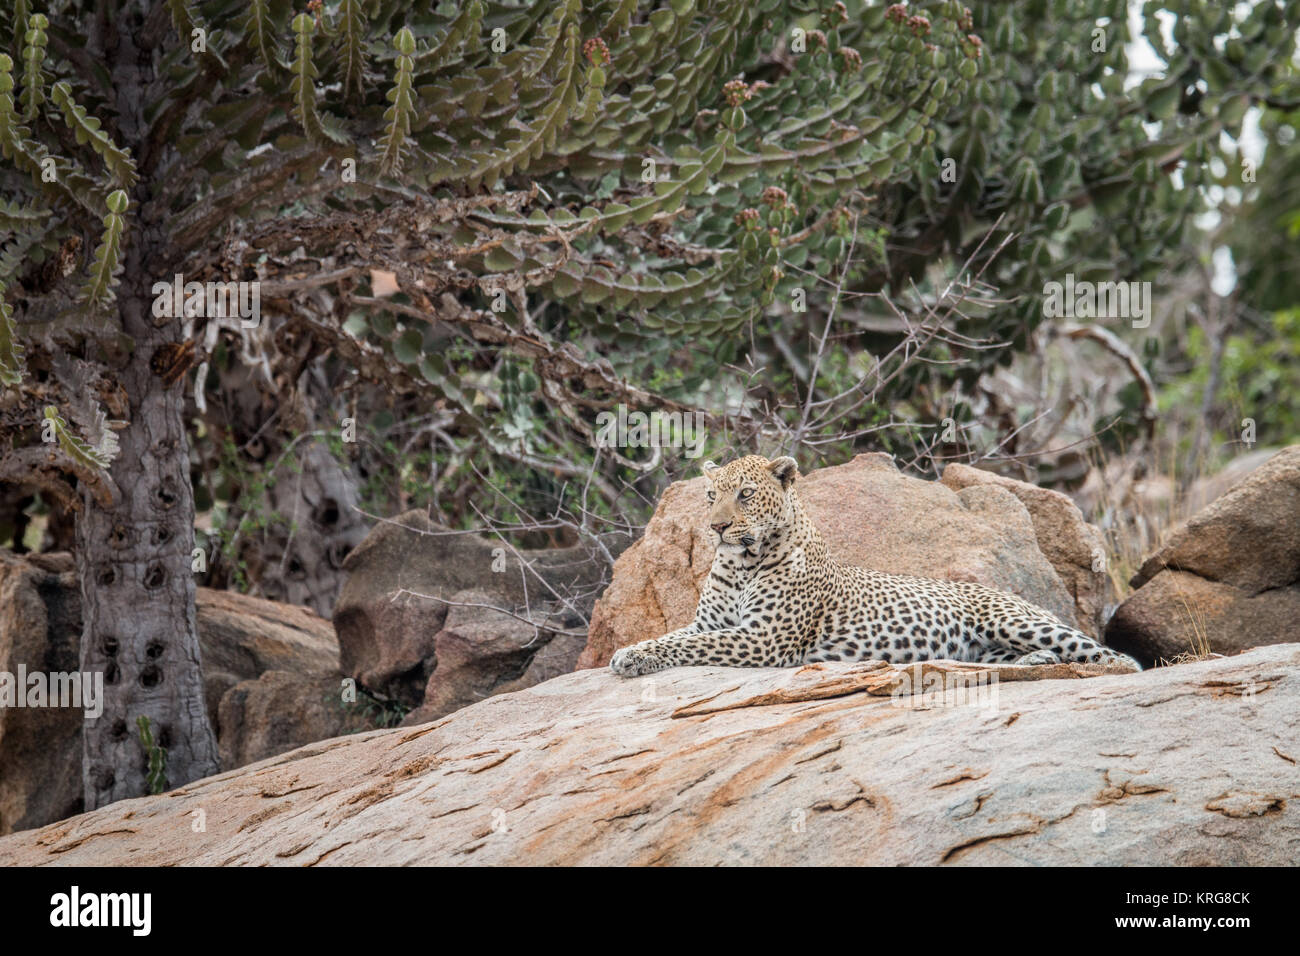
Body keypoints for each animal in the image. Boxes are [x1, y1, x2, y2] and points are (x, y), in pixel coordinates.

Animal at [609, 454, 1142, 677]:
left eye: (745, 494)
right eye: (710, 495)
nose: (717, 528)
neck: (743, 563)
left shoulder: (765, 639)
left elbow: (693, 647)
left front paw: (633, 659)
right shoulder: (709, 623)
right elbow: (673, 637)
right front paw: (631, 653)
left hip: (1013, 620)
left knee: (1112, 656)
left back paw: (1098, 667)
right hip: (986, 647)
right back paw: (1037, 663)